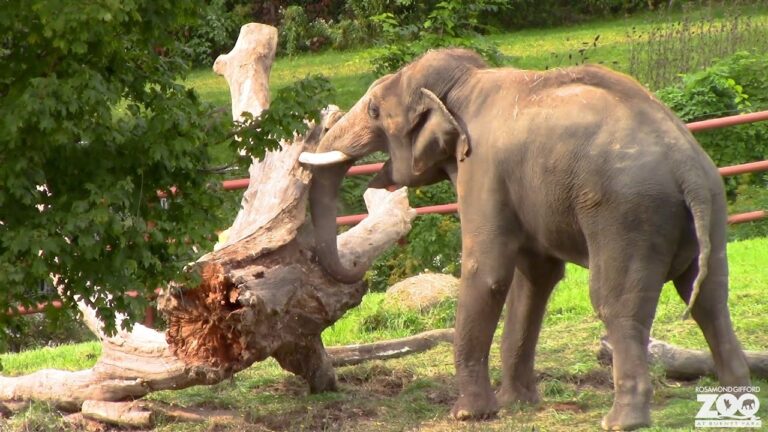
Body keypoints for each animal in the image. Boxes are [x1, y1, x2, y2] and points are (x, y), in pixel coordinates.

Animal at [299, 48, 751, 430]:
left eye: (374, 109)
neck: (467, 82)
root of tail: (687, 166)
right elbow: (537, 275)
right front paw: (515, 403)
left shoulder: (482, 168)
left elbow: (488, 272)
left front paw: (468, 414)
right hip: (710, 208)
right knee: (709, 297)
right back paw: (735, 393)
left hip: (628, 215)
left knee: (616, 303)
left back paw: (621, 421)